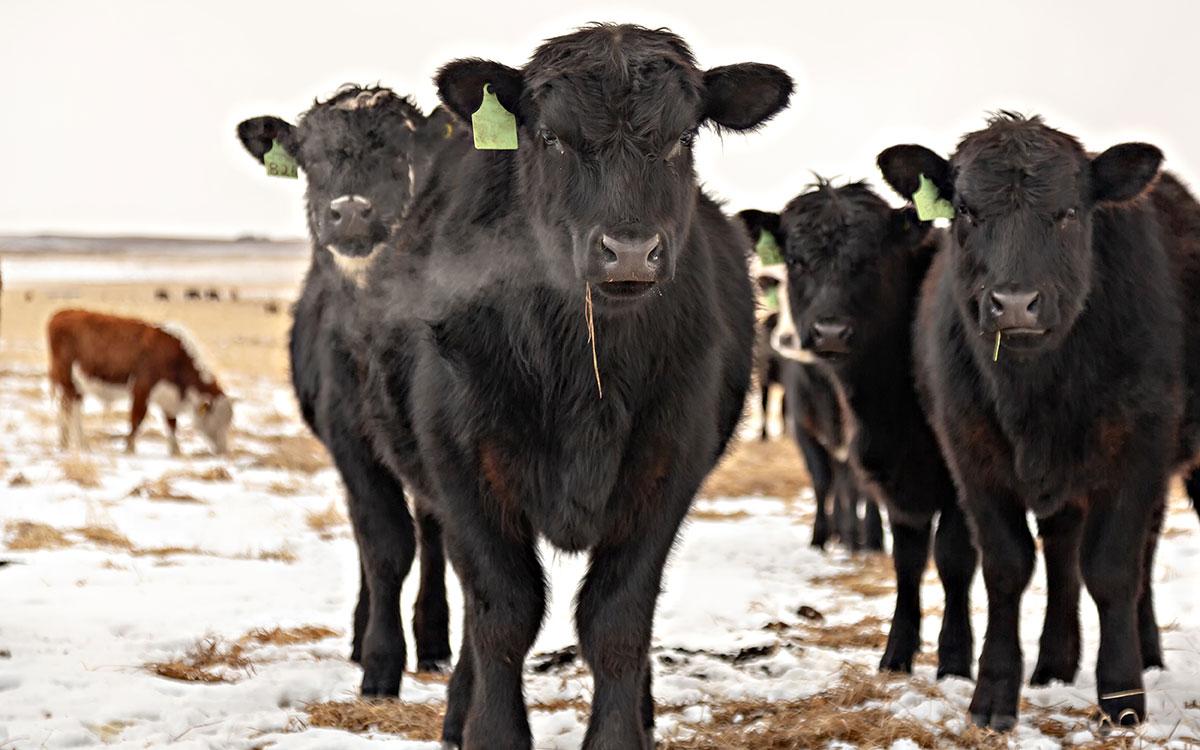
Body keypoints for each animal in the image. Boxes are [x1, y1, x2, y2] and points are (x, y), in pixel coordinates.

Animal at [47, 309, 233, 456]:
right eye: (218, 418)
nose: (223, 450)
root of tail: (61, 314)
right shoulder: (142, 390)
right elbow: (137, 420)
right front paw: (129, 448)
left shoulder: (167, 397)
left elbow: (172, 424)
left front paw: (176, 450)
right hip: (68, 381)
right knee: (73, 410)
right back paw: (83, 445)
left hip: (73, 385)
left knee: (66, 408)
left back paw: (64, 443)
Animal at [237, 84, 463, 696]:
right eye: (311, 160)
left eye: (402, 152)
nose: (352, 210)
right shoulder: (348, 435)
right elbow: (383, 542)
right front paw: (380, 663)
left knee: (430, 527)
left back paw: (433, 640)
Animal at [354, 24, 792, 749]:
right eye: (550, 137)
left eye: (682, 137)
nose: (629, 251)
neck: (585, 378)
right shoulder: (462, 470)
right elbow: (503, 612)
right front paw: (490, 733)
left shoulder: (668, 470)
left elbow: (617, 620)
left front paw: (620, 734)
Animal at [877, 112, 1200, 729]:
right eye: (966, 211)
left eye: (1069, 211)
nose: (1015, 303)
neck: (1034, 394)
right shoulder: (971, 452)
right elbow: (1007, 566)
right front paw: (993, 694)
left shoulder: (1138, 448)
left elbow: (1112, 567)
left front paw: (1122, 695)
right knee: (1059, 552)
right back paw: (1054, 663)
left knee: (1134, 553)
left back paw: (1143, 653)